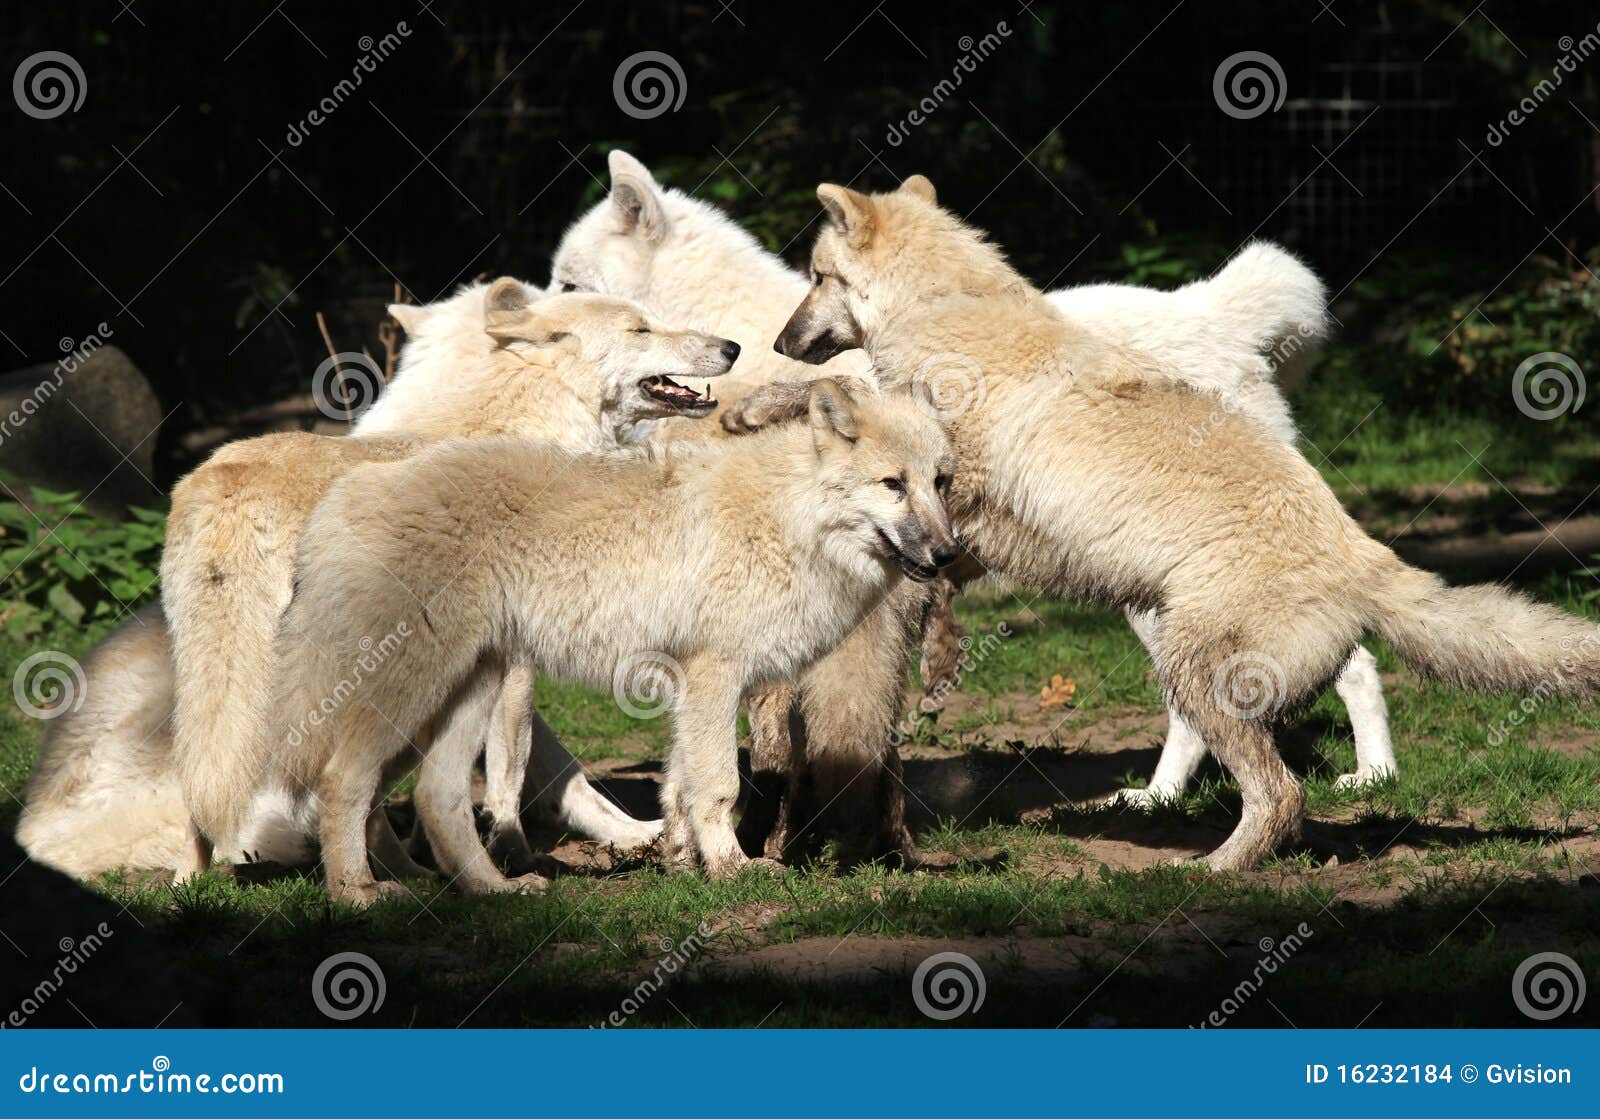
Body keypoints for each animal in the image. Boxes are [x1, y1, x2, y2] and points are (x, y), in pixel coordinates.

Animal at [235, 381, 955, 904]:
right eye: (894, 484)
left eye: (940, 483)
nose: (949, 553)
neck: (789, 517)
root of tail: (338, 496)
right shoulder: (715, 678)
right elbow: (719, 787)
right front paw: (732, 867)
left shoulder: (689, 692)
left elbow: (677, 790)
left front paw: (683, 863)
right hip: (410, 695)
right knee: (343, 783)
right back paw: (358, 894)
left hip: (466, 694)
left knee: (435, 801)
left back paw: (491, 890)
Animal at [756, 174, 1600, 870]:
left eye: (817, 278)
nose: (776, 340)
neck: (949, 312)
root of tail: (1364, 555)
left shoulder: (945, 481)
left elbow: (842, 411)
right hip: (1172, 639)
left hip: (1191, 663)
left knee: (1282, 794)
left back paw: (1211, 869)